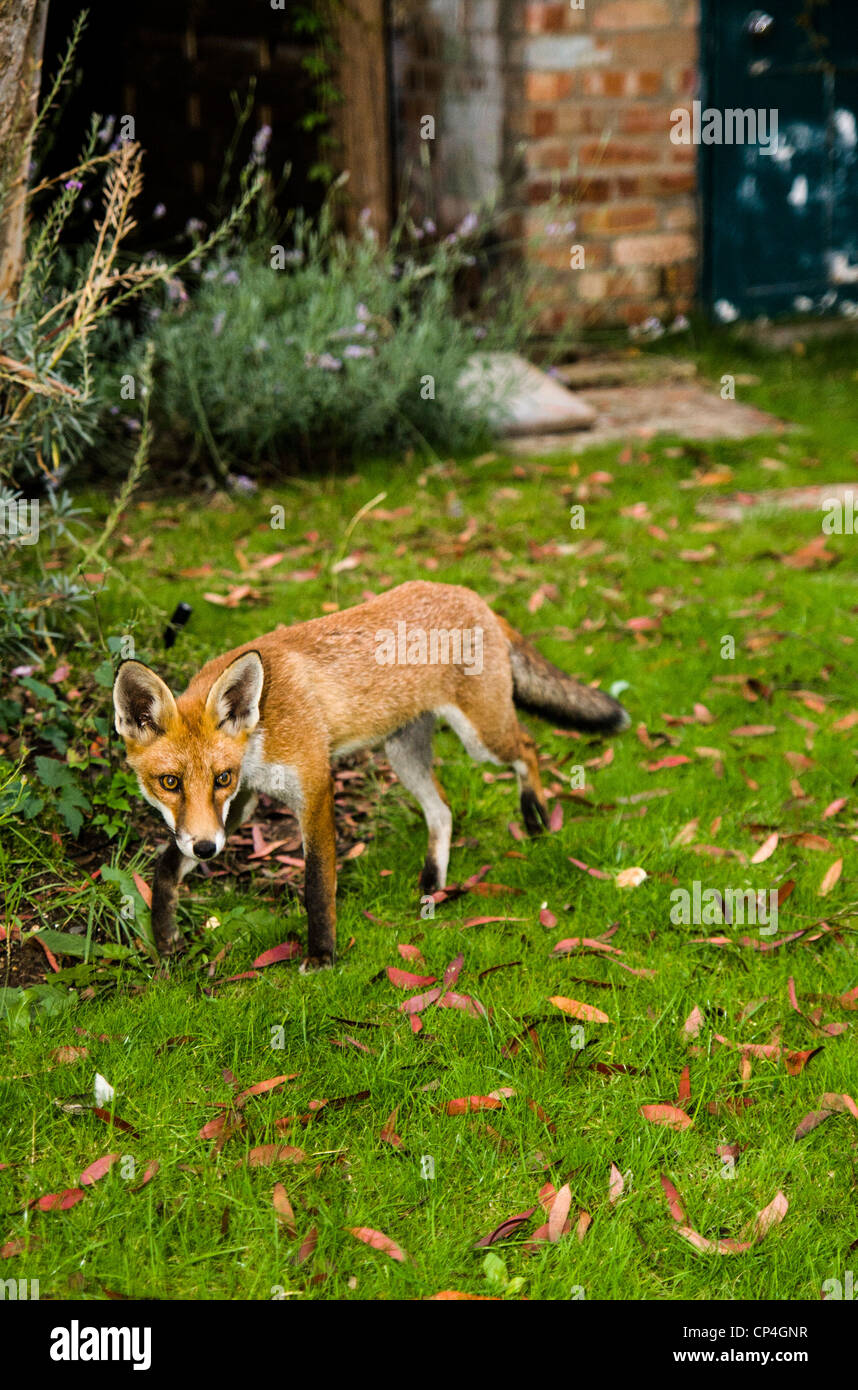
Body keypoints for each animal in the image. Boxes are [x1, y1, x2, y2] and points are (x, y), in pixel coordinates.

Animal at [112, 580, 629, 969]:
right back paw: (433, 884)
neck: (262, 726)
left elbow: (318, 886)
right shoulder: (240, 805)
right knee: (443, 811)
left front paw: (322, 958)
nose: (206, 850)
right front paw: (165, 938)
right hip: (404, 752)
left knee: (528, 749)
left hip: (483, 739)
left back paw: (536, 817)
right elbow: (167, 866)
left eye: (220, 777)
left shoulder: (313, 789)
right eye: (170, 783)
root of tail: (471, 594)